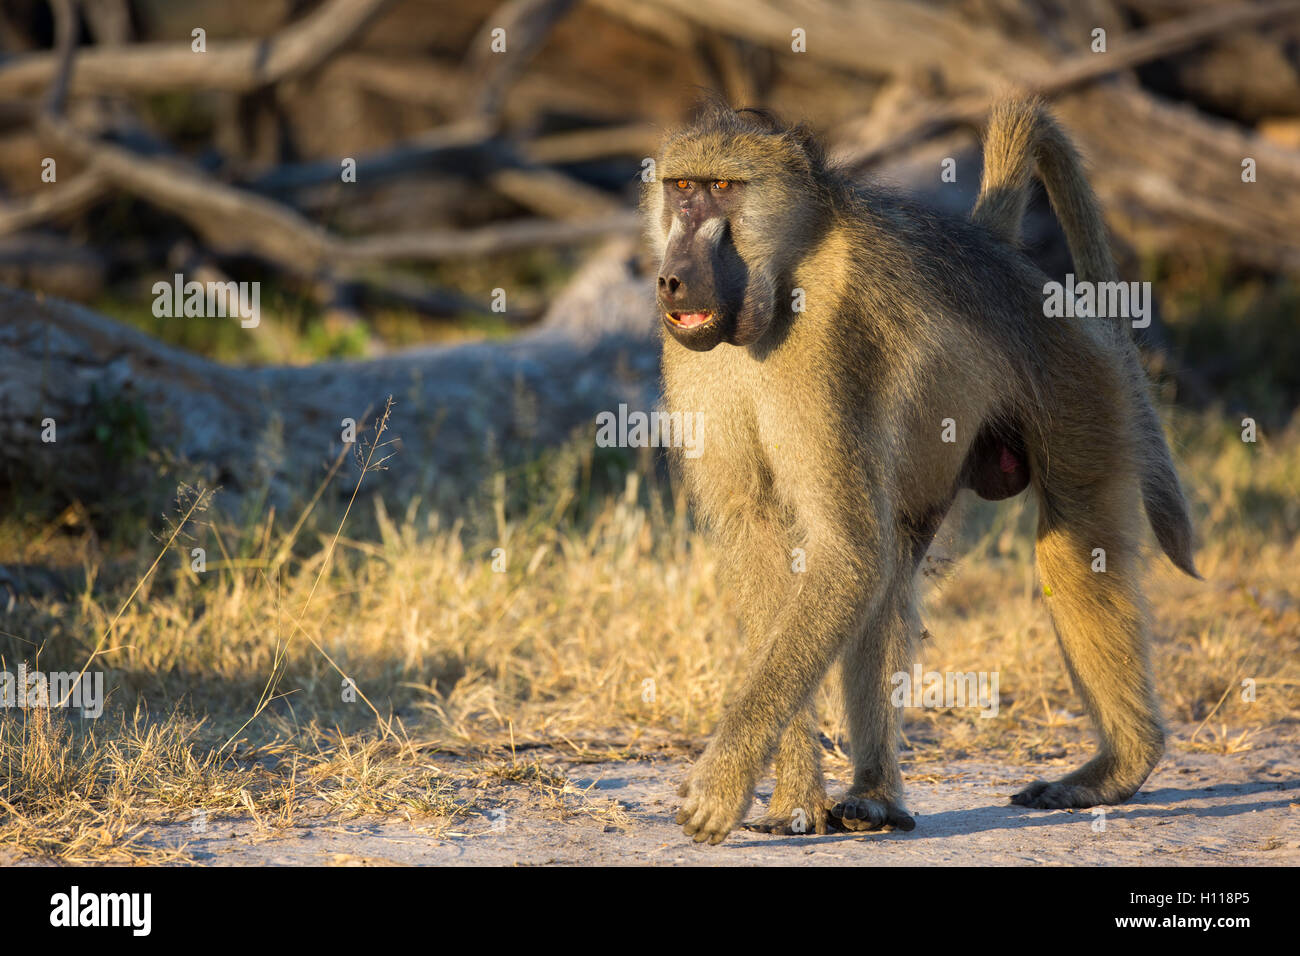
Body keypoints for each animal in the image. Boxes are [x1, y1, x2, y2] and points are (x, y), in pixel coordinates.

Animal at [643, 95, 1199, 844]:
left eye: (723, 188)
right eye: (681, 188)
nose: (673, 278)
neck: (787, 269)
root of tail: (997, 257)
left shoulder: (821, 351)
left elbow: (847, 553)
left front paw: (721, 784)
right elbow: (765, 536)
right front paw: (794, 800)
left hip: (1080, 378)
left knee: (1069, 549)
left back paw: (1117, 768)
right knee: (894, 565)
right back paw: (875, 797)